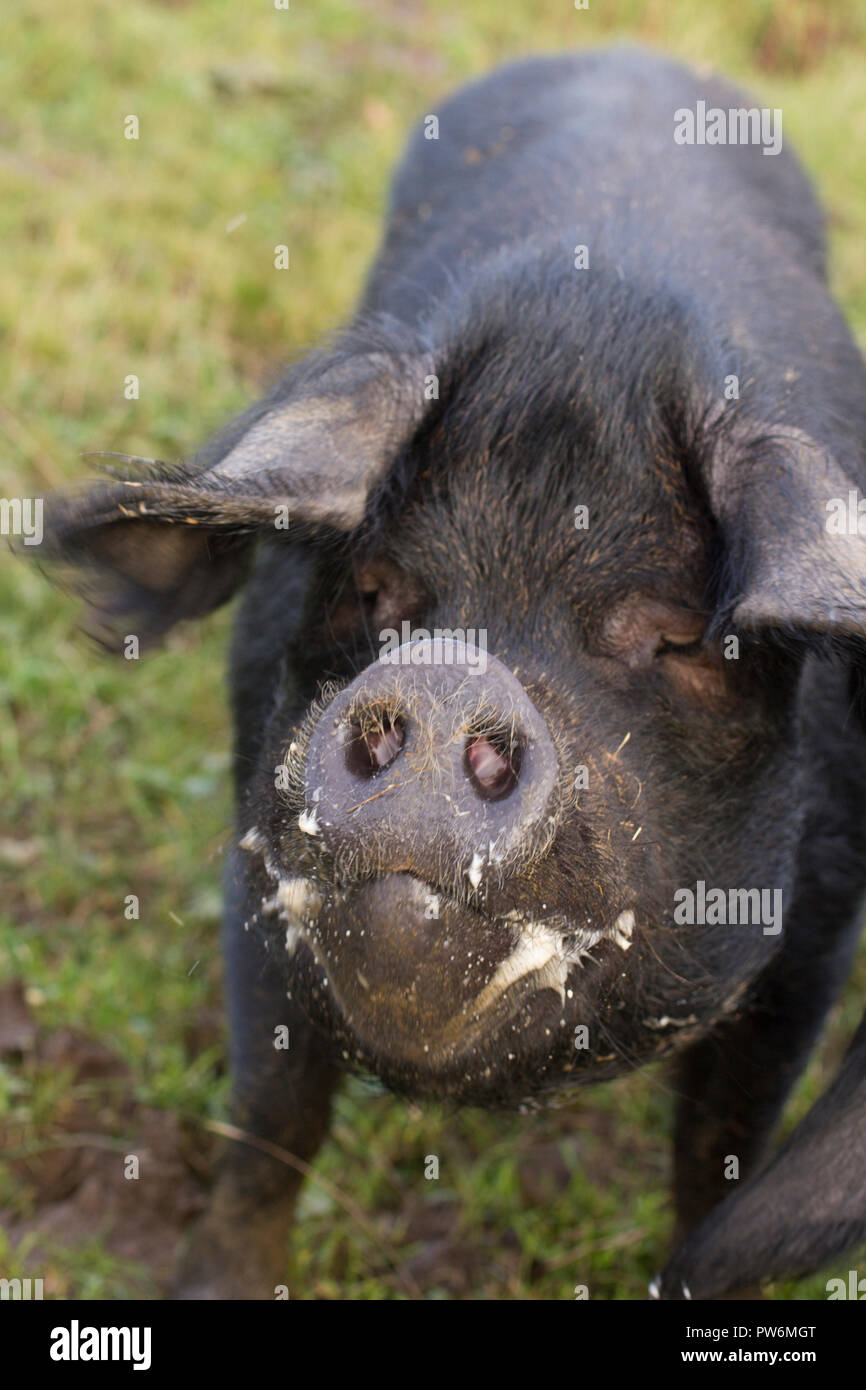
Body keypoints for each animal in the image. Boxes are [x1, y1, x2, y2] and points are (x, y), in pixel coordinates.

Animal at [40, 48, 866, 1299]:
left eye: (676, 634)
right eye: (374, 582)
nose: (443, 680)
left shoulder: (810, 939)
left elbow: (719, 1154)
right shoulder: (254, 844)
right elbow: (271, 1116)